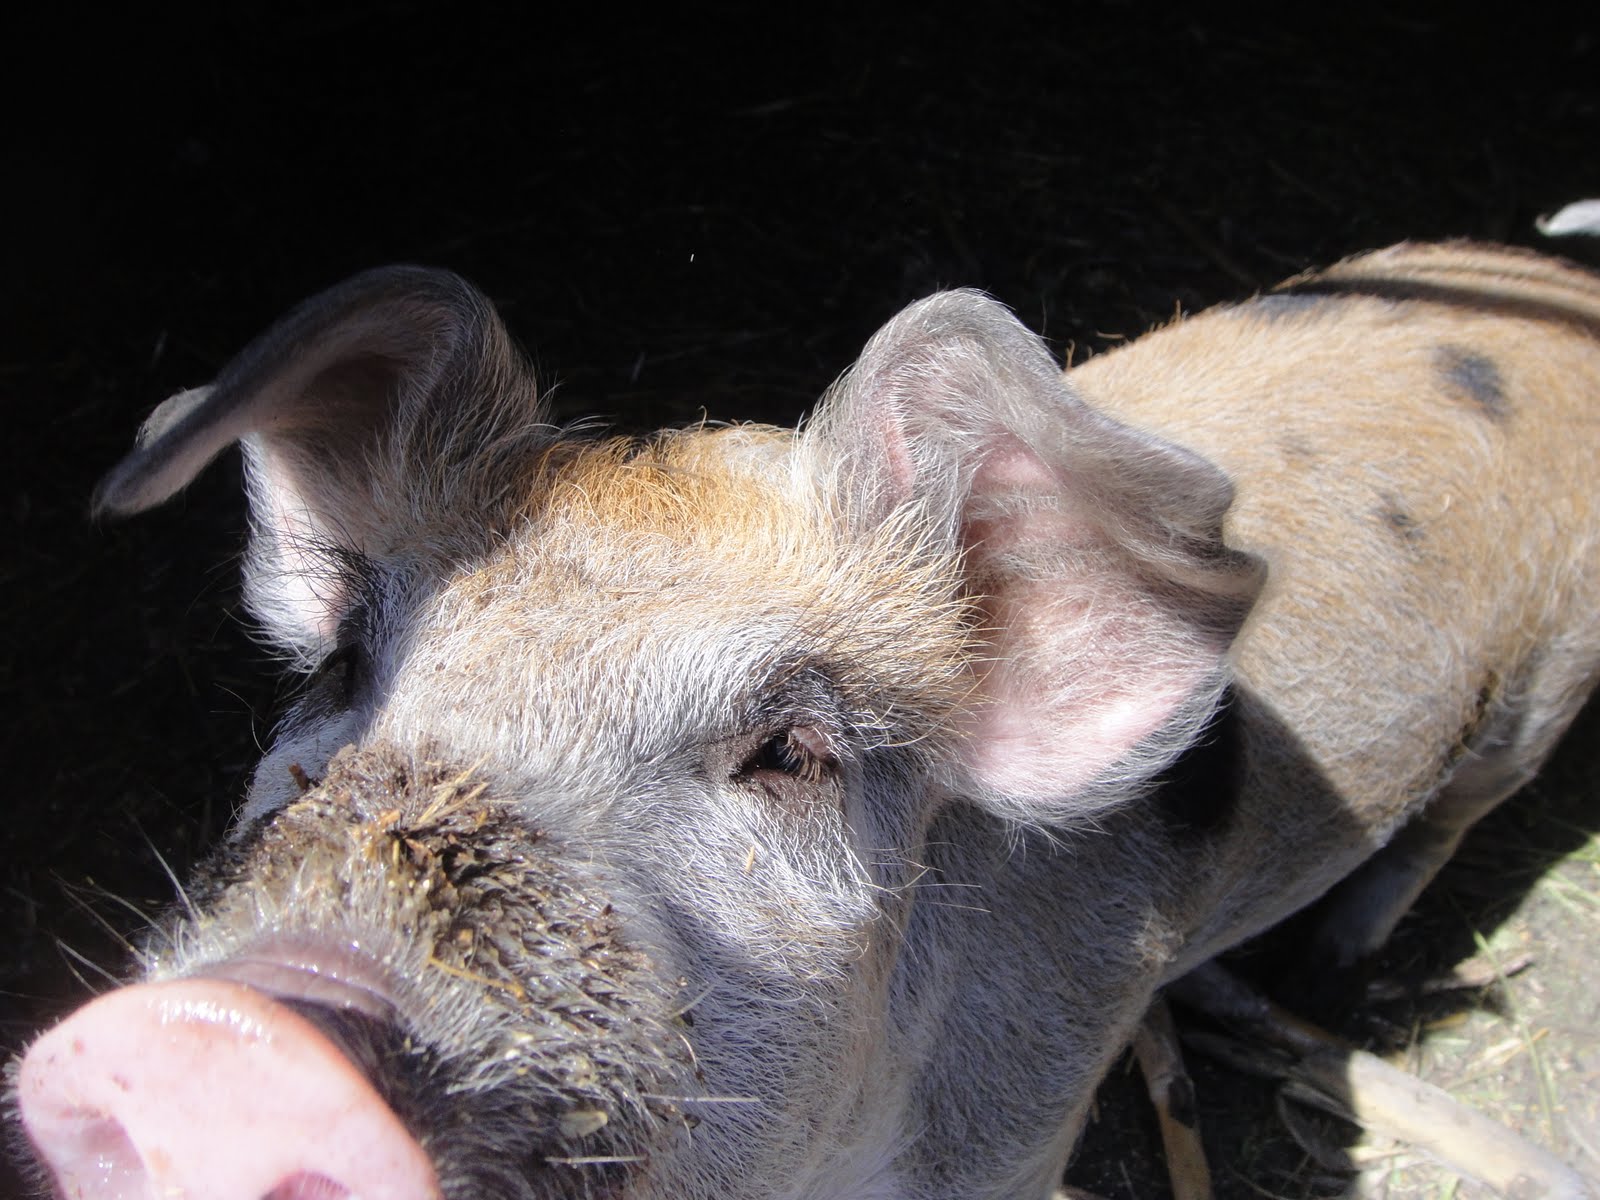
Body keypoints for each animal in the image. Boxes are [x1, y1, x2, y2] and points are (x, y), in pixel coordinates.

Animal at [11, 240, 1600, 1200]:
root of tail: (1545, 275)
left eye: (794, 755)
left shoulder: (1021, 1133)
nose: (231, 1028)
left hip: (1542, 694)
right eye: (345, 664)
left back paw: (1338, 960)